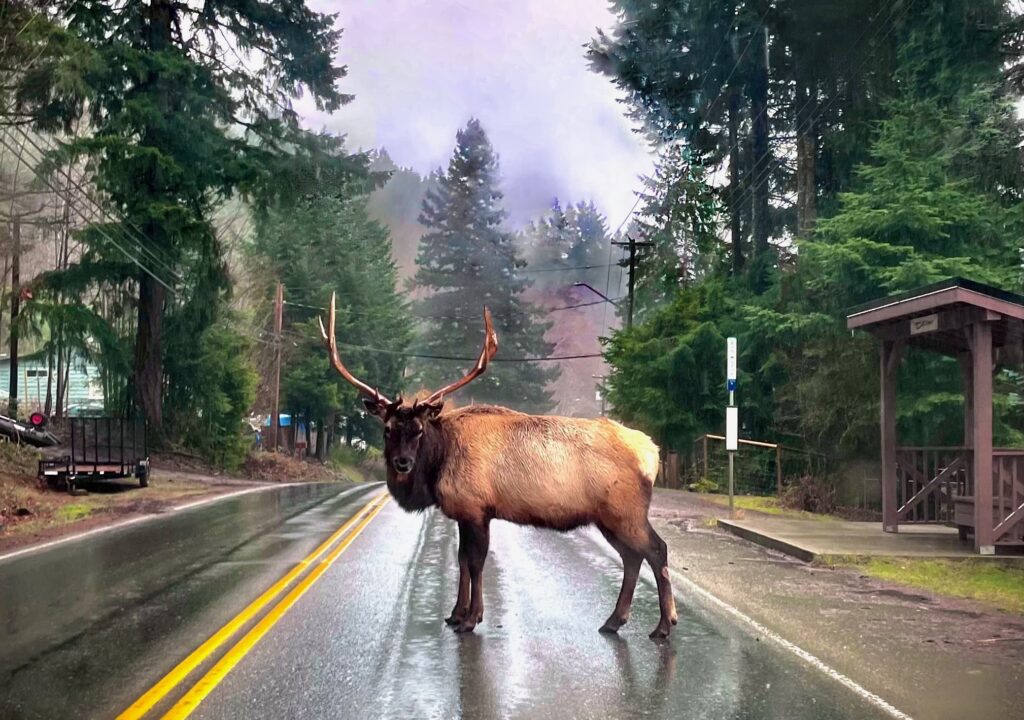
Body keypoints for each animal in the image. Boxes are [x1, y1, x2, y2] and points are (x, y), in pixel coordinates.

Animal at [319, 294, 678, 639]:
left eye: (419, 430)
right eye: (387, 429)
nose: (403, 463)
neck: (439, 463)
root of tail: (652, 452)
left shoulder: (477, 509)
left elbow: (476, 563)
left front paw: (471, 619)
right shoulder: (464, 513)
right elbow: (462, 560)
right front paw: (455, 614)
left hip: (625, 511)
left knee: (657, 549)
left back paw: (663, 625)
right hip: (608, 519)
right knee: (632, 557)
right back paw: (614, 620)